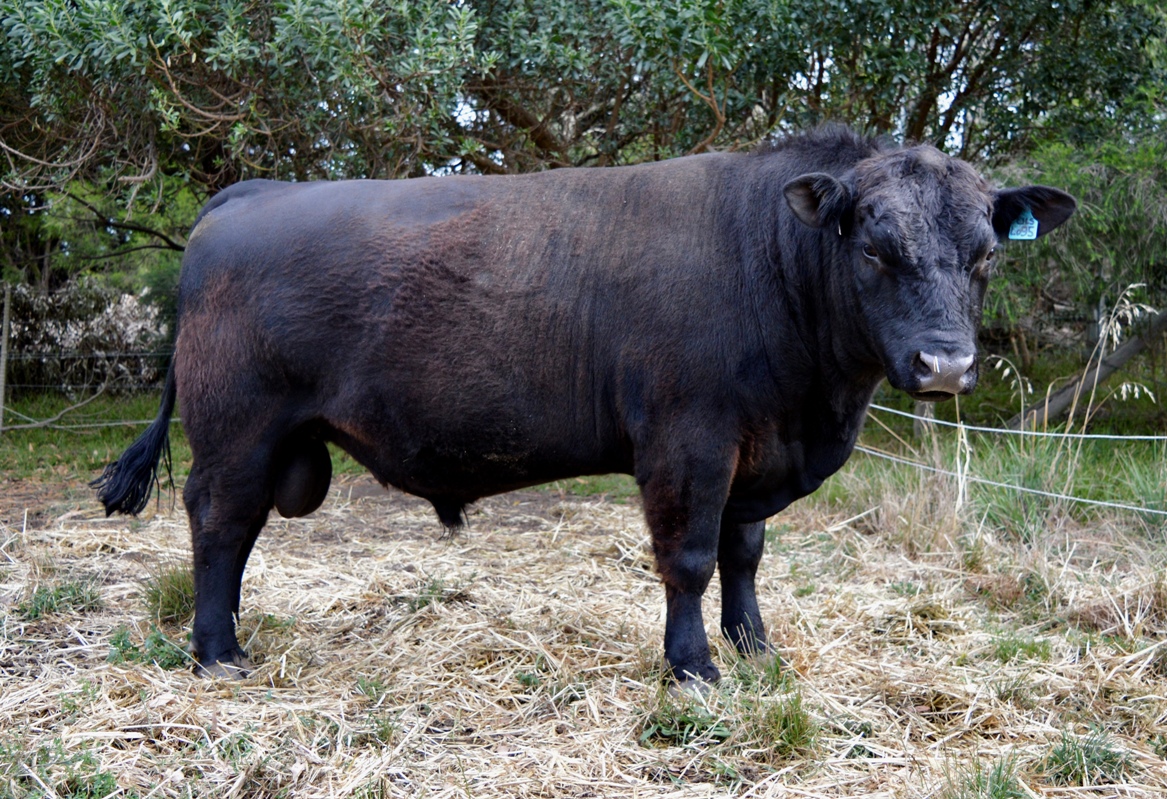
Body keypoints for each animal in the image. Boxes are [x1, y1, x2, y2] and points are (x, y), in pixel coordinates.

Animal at [94, 127, 1075, 689]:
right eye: (873, 249)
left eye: (987, 253)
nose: (945, 364)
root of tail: (251, 192)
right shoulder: (689, 439)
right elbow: (688, 558)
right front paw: (692, 668)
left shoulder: (752, 449)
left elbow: (744, 553)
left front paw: (754, 647)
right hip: (237, 428)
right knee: (219, 524)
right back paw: (218, 653)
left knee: (235, 530)